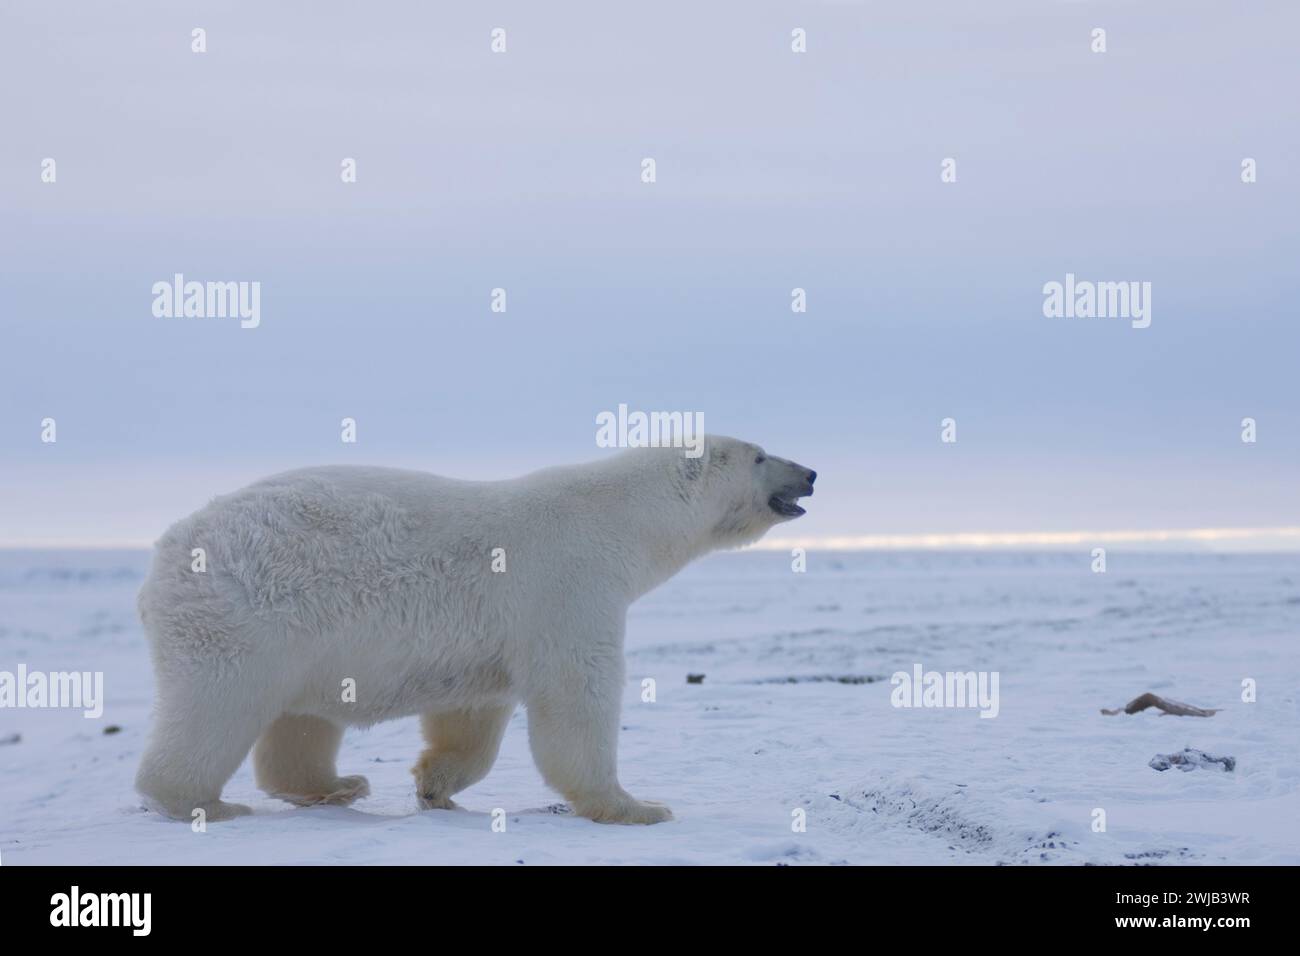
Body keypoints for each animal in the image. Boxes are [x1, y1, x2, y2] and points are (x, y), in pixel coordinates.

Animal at [133, 435, 816, 824]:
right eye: (760, 456)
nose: (809, 472)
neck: (622, 518)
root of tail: (164, 554)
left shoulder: (494, 633)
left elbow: (474, 715)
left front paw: (436, 787)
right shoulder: (569, 585)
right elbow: (576, 694)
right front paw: (637, 807)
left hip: (305, 637)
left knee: (298, 720)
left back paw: (338, 786)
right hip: (247, 612)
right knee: (217, 703)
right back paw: (202, 802)